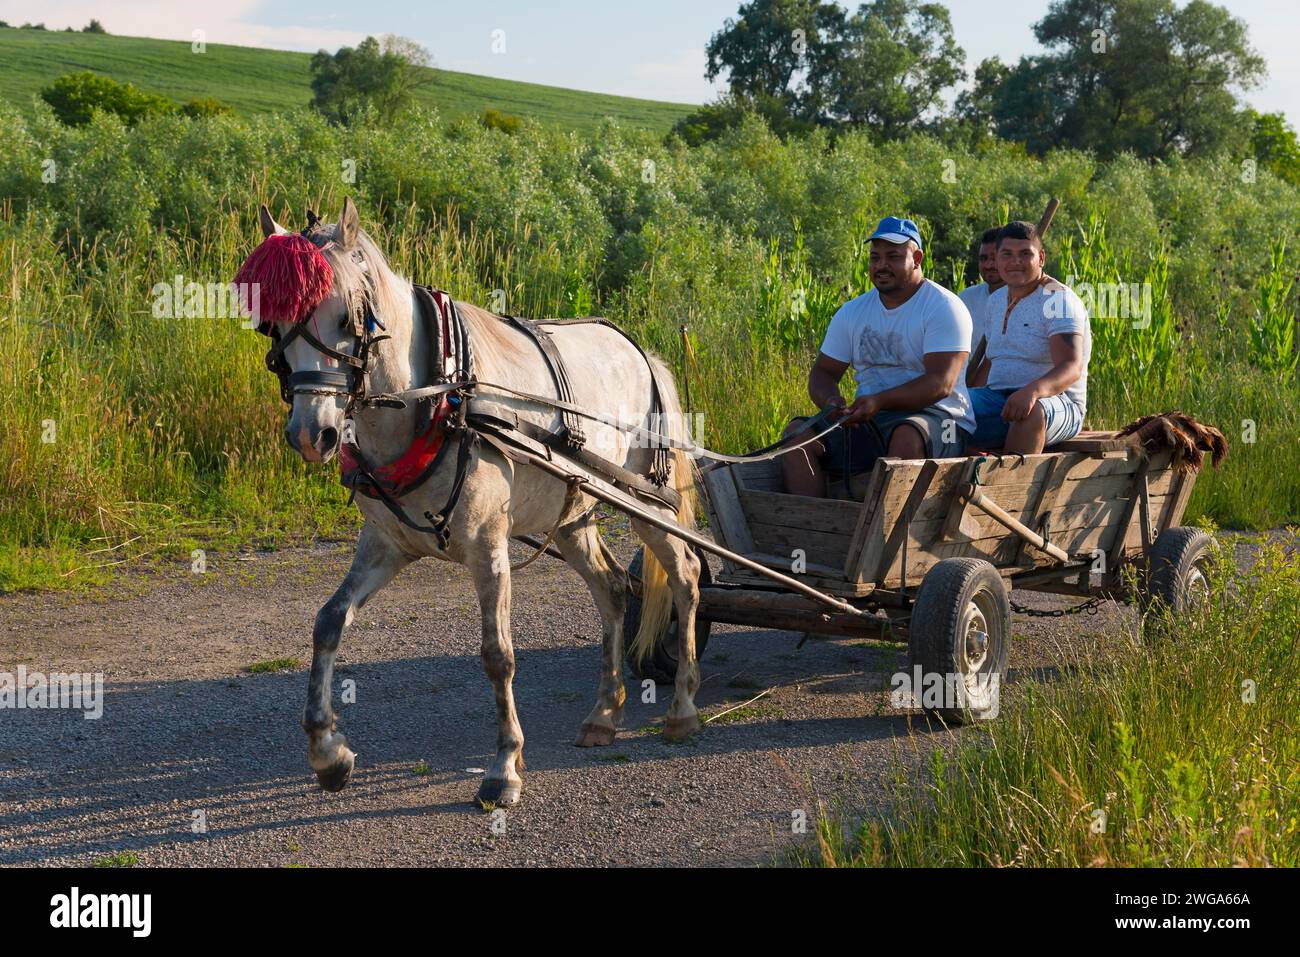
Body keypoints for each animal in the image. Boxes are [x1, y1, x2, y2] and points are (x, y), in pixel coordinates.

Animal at [235, 198, 703, 807]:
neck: (438, 393)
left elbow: (498, 656)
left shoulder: (488, 546)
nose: (311, 435)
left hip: (649, 504)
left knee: (685, 576)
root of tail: (640, 352)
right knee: (612, 589)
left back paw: (683, 707)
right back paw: (604, 713)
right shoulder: (385, 545)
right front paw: (327, 751)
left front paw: (504, 766)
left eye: (350, 317)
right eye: (274, 323)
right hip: (572, 514)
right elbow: (328, 622)